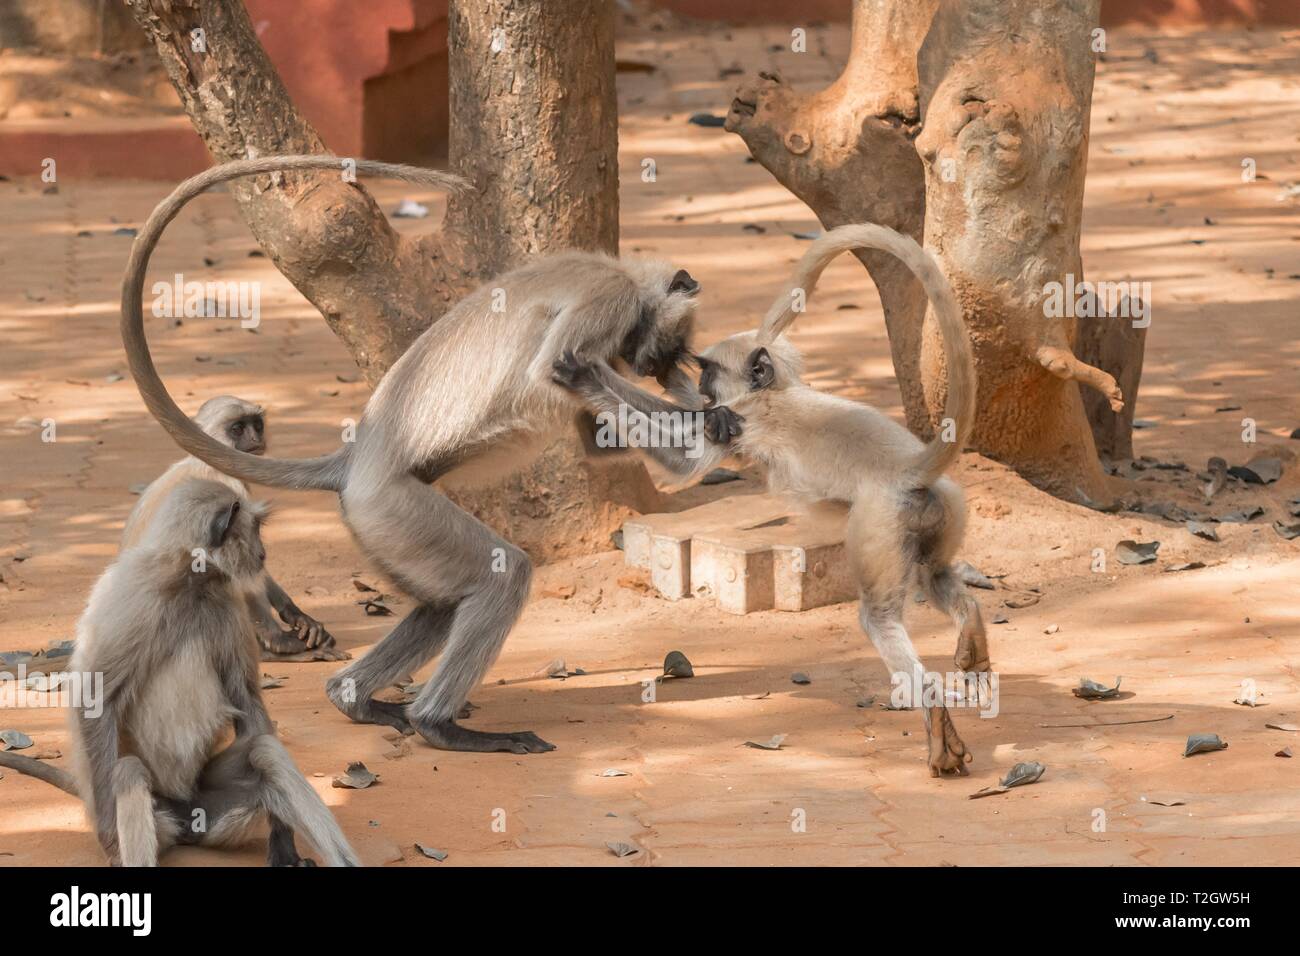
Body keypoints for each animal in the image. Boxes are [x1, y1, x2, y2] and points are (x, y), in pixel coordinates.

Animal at [0, 479, 359, 866]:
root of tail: (188, 822)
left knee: (265, 751)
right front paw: (109, 833)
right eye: (255, 529)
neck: (190, 582)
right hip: (162, 816)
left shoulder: (227, 603)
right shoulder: (136, 598)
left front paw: (284, 843)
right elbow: (97, 699)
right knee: (127, 771)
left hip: (213, 810)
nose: (263, 554)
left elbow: (247, 700)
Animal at [122, 394, 347, 662]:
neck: (206, 463)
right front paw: (281, 642)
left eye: (257, 425)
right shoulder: (230, 486)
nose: (255, 439)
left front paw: (298, 616)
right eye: (238, 429)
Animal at [552, 223, 1010, 778]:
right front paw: (661, 374)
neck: (778, 392)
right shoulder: (736, 409)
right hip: (944, 514)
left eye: (710, 368)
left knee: (879, 617)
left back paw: (934, 717)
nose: (695, 374)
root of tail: (912, 468)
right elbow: (692, 418)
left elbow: (688, 458)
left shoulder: (742, 420)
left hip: (879, 521)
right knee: (934, 575)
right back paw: (972, 628)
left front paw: (586, 377)